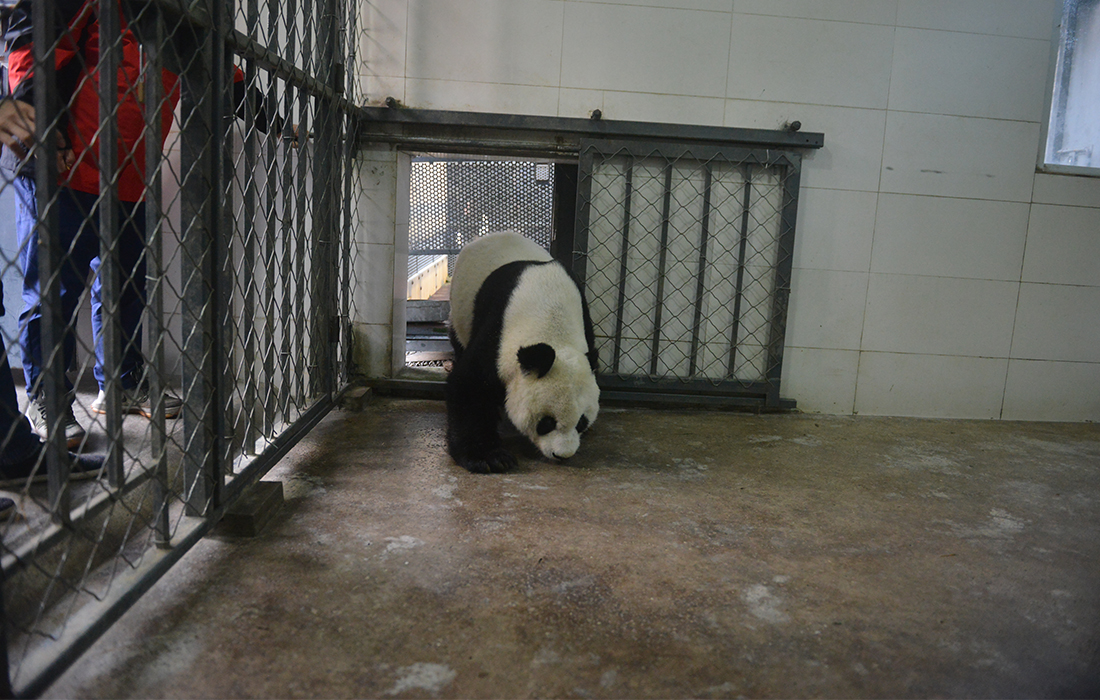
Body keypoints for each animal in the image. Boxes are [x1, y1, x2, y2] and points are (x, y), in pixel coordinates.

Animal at [445, 231, 600, 474]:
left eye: (581, 421)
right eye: (547, 422)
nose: (562, 455)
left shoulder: (585, 321)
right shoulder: (497, 331)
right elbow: (470, 385)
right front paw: (490, 458)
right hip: (461, 311)